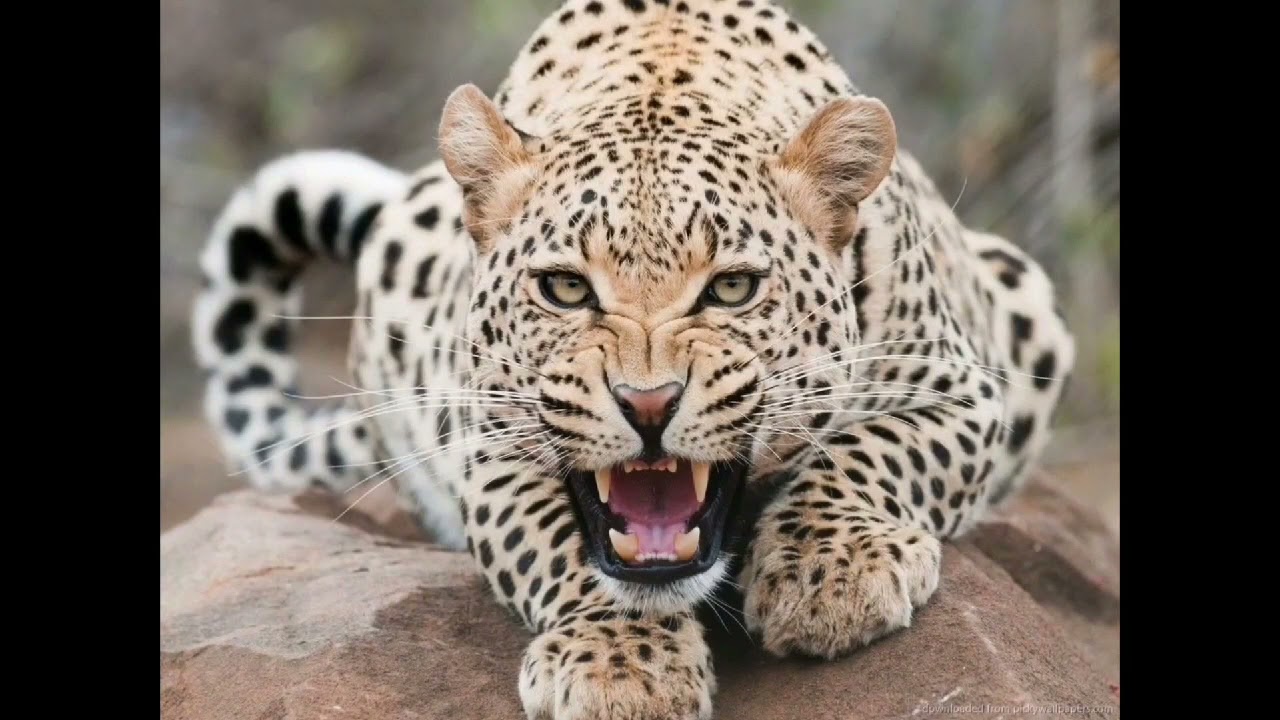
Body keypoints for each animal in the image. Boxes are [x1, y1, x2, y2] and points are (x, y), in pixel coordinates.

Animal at [190, 1, 1076, 717]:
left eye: (732, 288)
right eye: (564, 288)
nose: (648, 404)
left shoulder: (963, 389)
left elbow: (871, 451)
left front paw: (830, 575)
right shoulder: (490, 446)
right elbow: (557, 544)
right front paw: (620, 665)